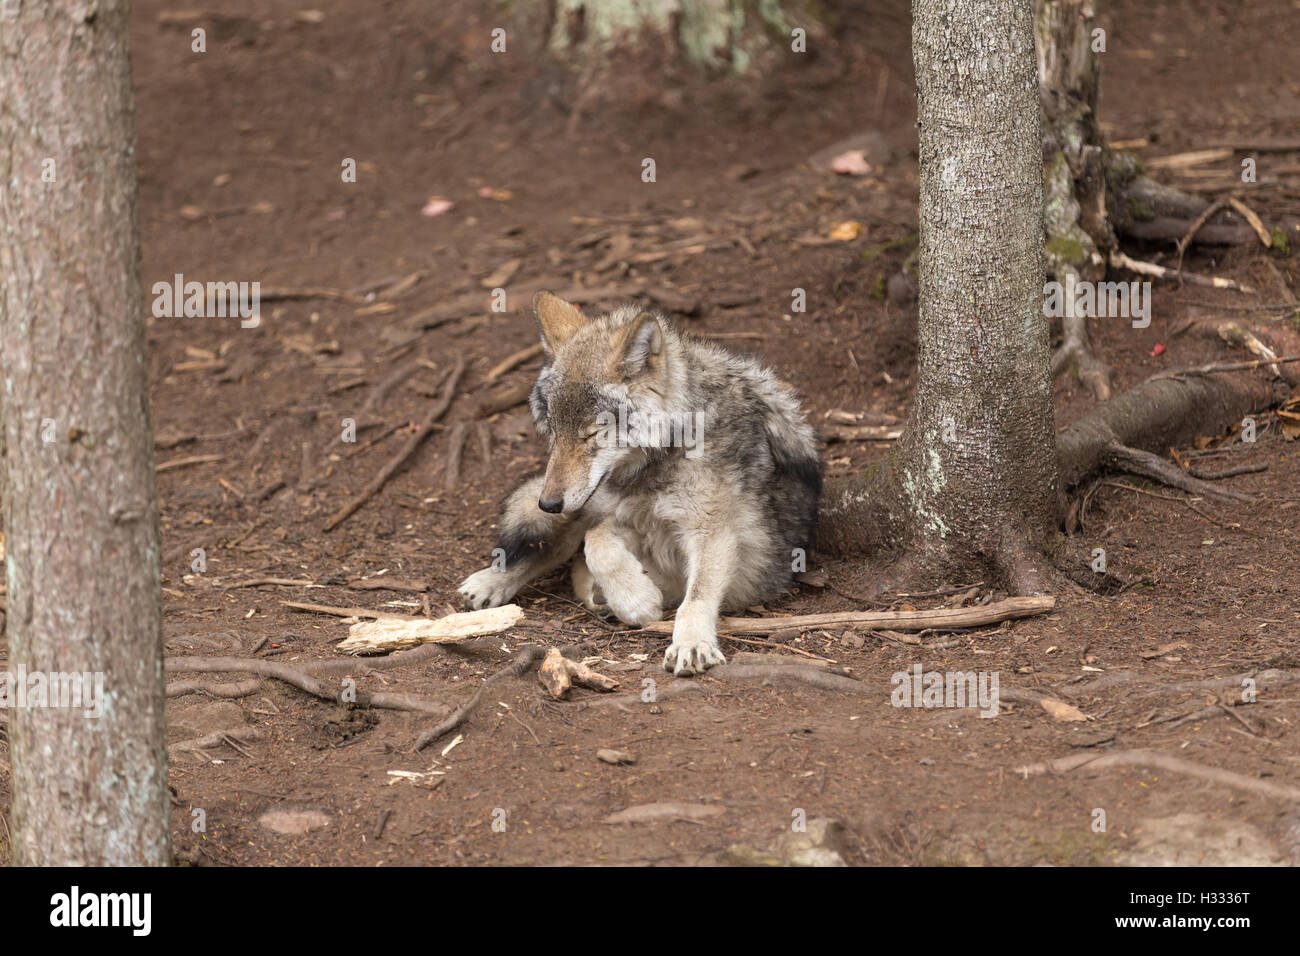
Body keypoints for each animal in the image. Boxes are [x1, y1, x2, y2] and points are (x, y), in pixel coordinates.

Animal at [458, 291, 821, 675]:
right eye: (555, 431)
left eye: (592, 433)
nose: (549, 504)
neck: (665, 454)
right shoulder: (630, 521)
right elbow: (597, 544)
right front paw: (638, 600)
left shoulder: (712, 533)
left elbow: (696, 597)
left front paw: (690, 643)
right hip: (579, 507)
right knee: (554, 547)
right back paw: (491, 582)